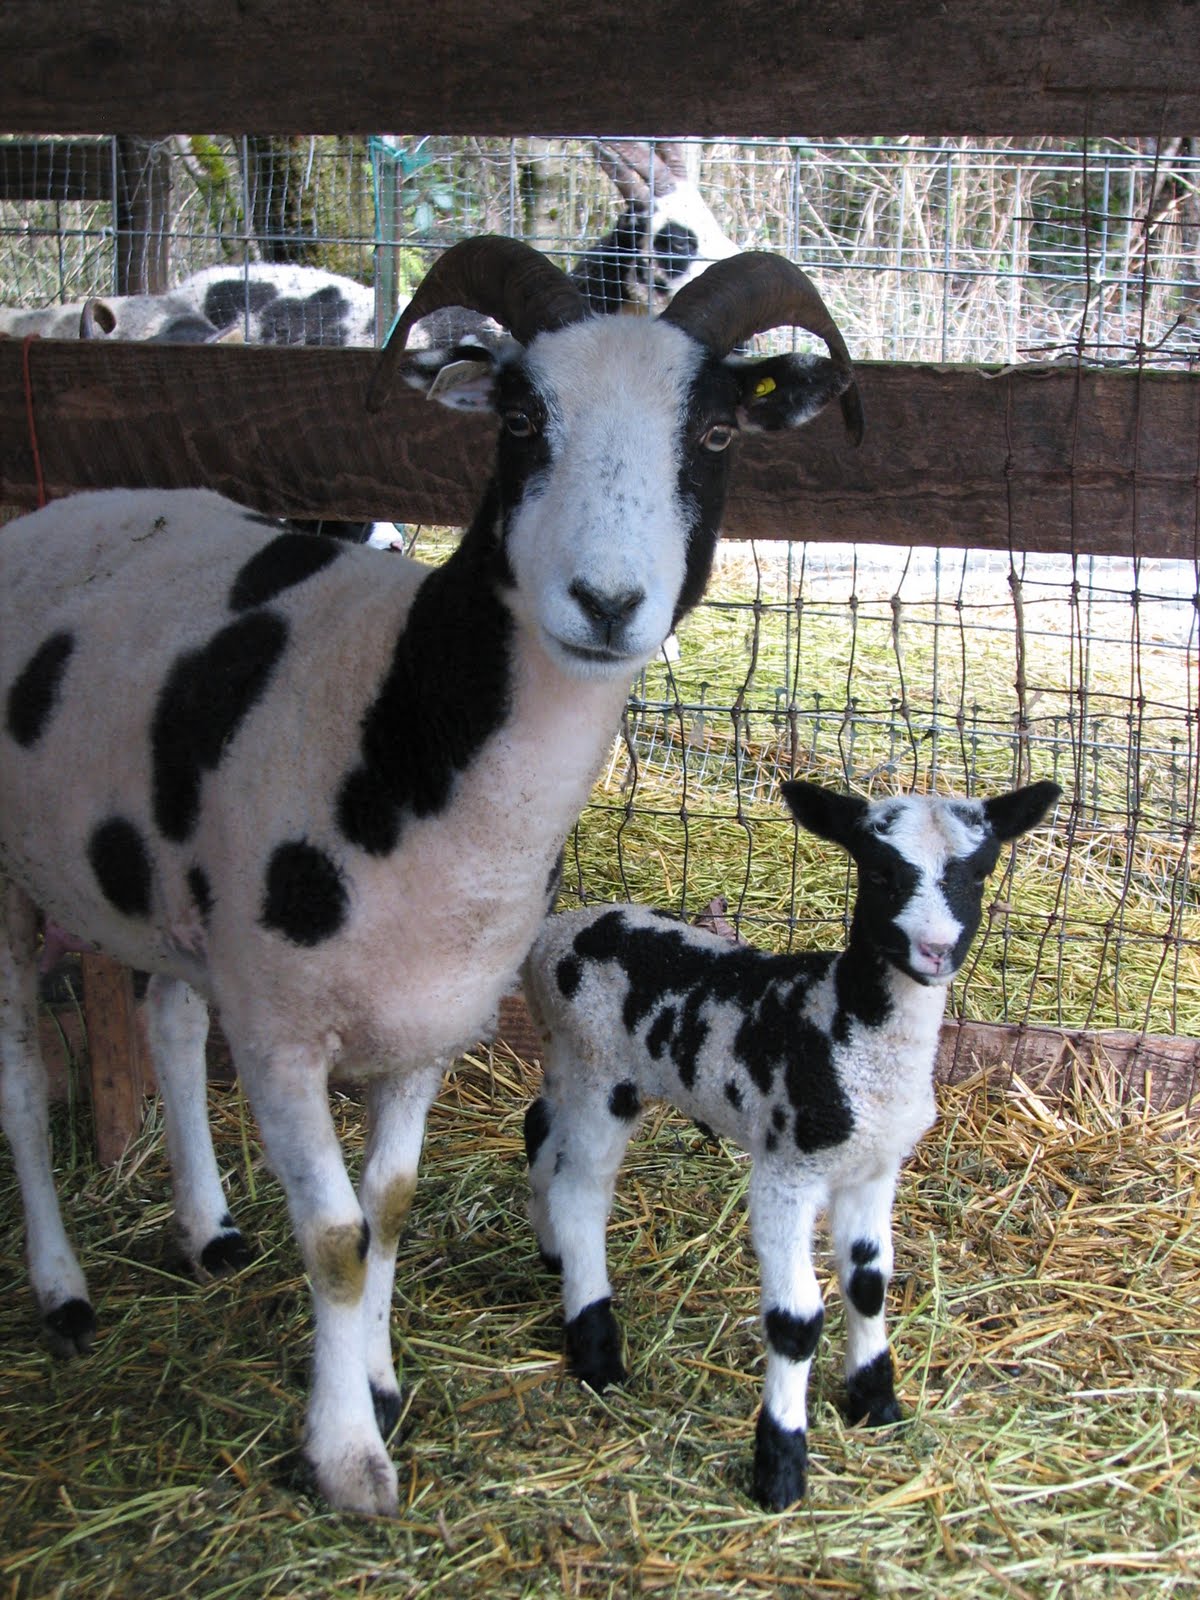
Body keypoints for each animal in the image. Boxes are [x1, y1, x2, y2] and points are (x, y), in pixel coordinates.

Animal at [0, 234, 863, 1515]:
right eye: (519, 416)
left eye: (714, 432)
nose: (607, 602)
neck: (401, 728)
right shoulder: (282, 1029)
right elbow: (334, 1238)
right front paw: (347, 1458)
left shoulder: (430, 1022)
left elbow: (390, 1212)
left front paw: (381, 1382)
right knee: (18, 1080)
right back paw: (62, 1293)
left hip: (175, 900)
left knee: (165, 1015)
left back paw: (206, 1232)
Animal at [520, 778, 1061, 1510]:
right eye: (880, 872)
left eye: (978, 873)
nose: (935, 950)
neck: (843, 1023)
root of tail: (555, 936)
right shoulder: (788, 1172)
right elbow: (797, 1321)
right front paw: (779, 1464)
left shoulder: (874, 1169)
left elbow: (869, 1283)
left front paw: (875, 1403)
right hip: (600, 1072)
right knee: (580, 1192)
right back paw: (598, 1350)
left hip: (565, 1060)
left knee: (539, 1133)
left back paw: (552, 1255)